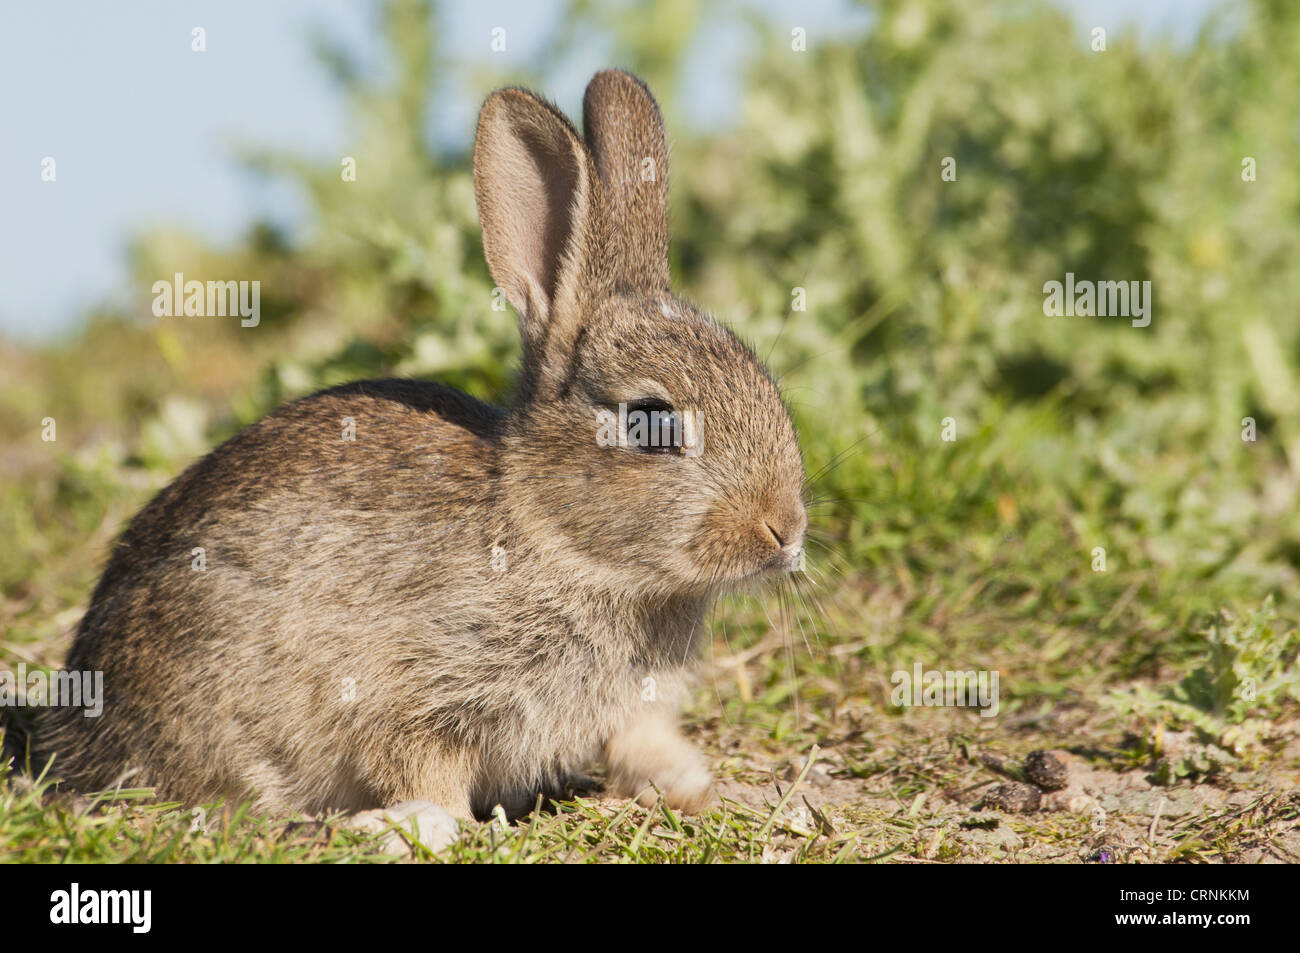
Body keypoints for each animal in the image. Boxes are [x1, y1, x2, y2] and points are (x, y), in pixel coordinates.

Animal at [32, 69, 808, 823]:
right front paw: (425, 824)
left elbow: (642, 744)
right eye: (651, 423)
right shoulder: (408, 691)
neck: (554, 536)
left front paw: (703, 790)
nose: (785, 530)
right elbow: (420, 768)